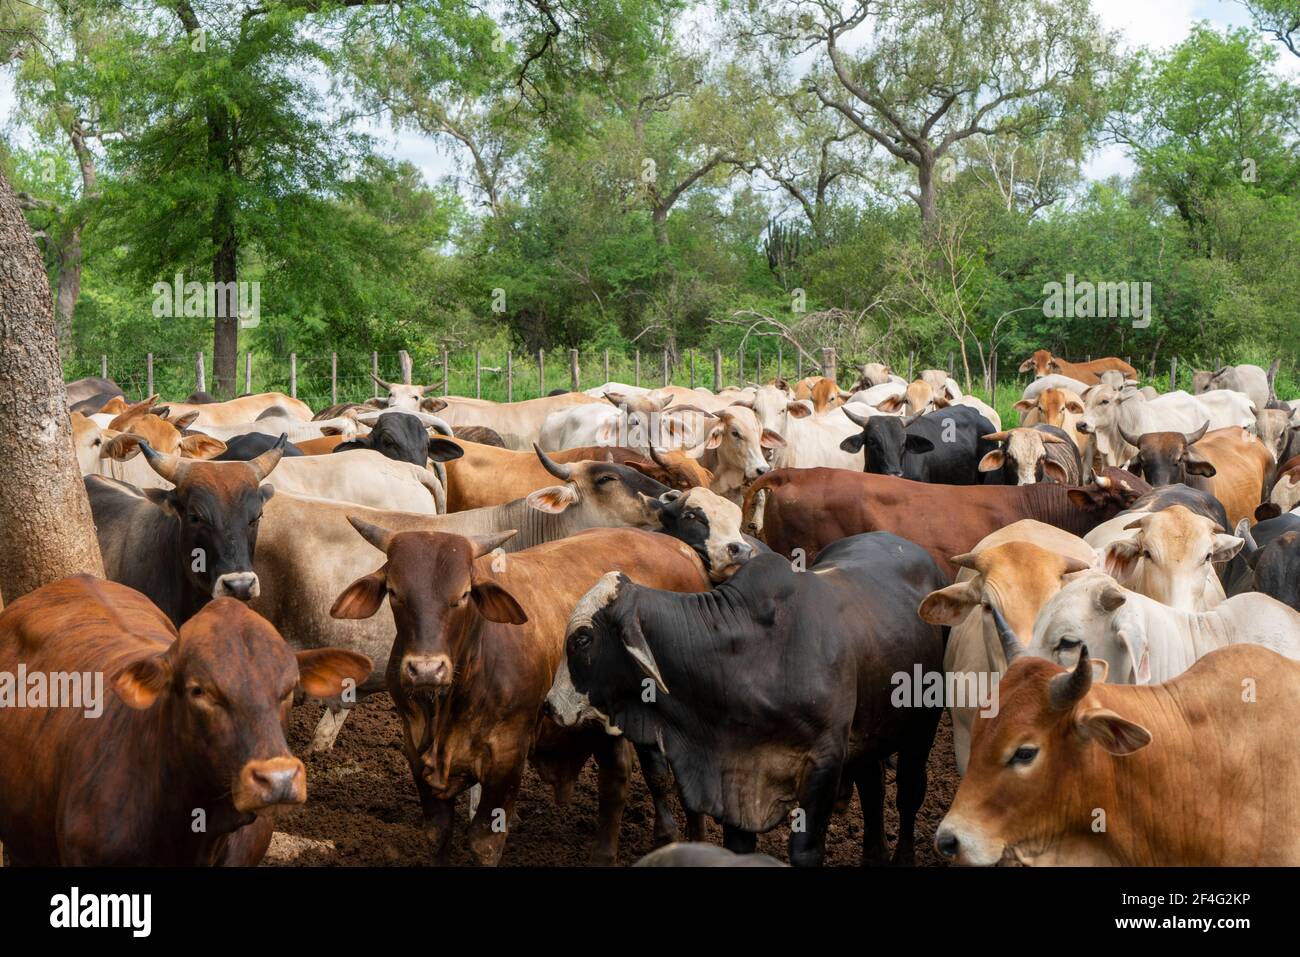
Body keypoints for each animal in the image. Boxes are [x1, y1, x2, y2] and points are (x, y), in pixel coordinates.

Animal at [329, 523, 711, 866]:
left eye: (463, 595)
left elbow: (484, 842)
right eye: (394, 592)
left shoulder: (507, 755)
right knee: (625, 777)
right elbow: (437, 833)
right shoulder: (414, 747)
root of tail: (681, 550)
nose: (426, 670)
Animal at [546, 533, 945, 866]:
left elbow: (806, 850)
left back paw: (902, 858)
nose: (549, 705)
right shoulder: (735, 775)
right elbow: (738, 845)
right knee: (873, 786)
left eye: (582, 639)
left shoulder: (825, 762)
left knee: (908, 793)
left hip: (922, 727)